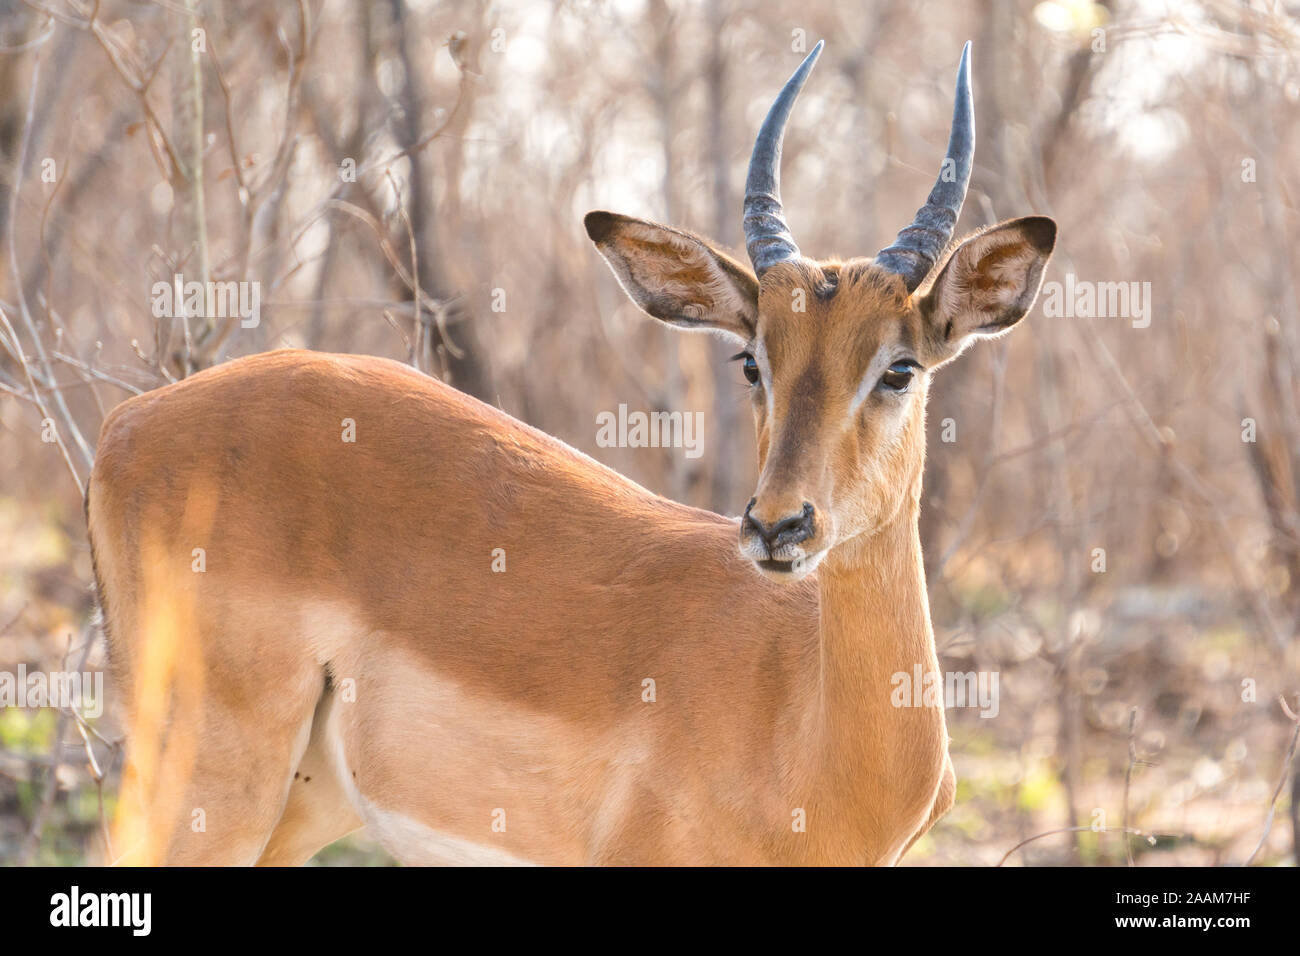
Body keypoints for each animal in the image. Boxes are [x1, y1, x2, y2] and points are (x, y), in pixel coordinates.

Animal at [87, 40, 1055, 866]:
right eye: (753, 359)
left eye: (900, 367)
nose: (778, 528)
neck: (809, 731)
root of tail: (127, 423)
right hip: (215, 785)